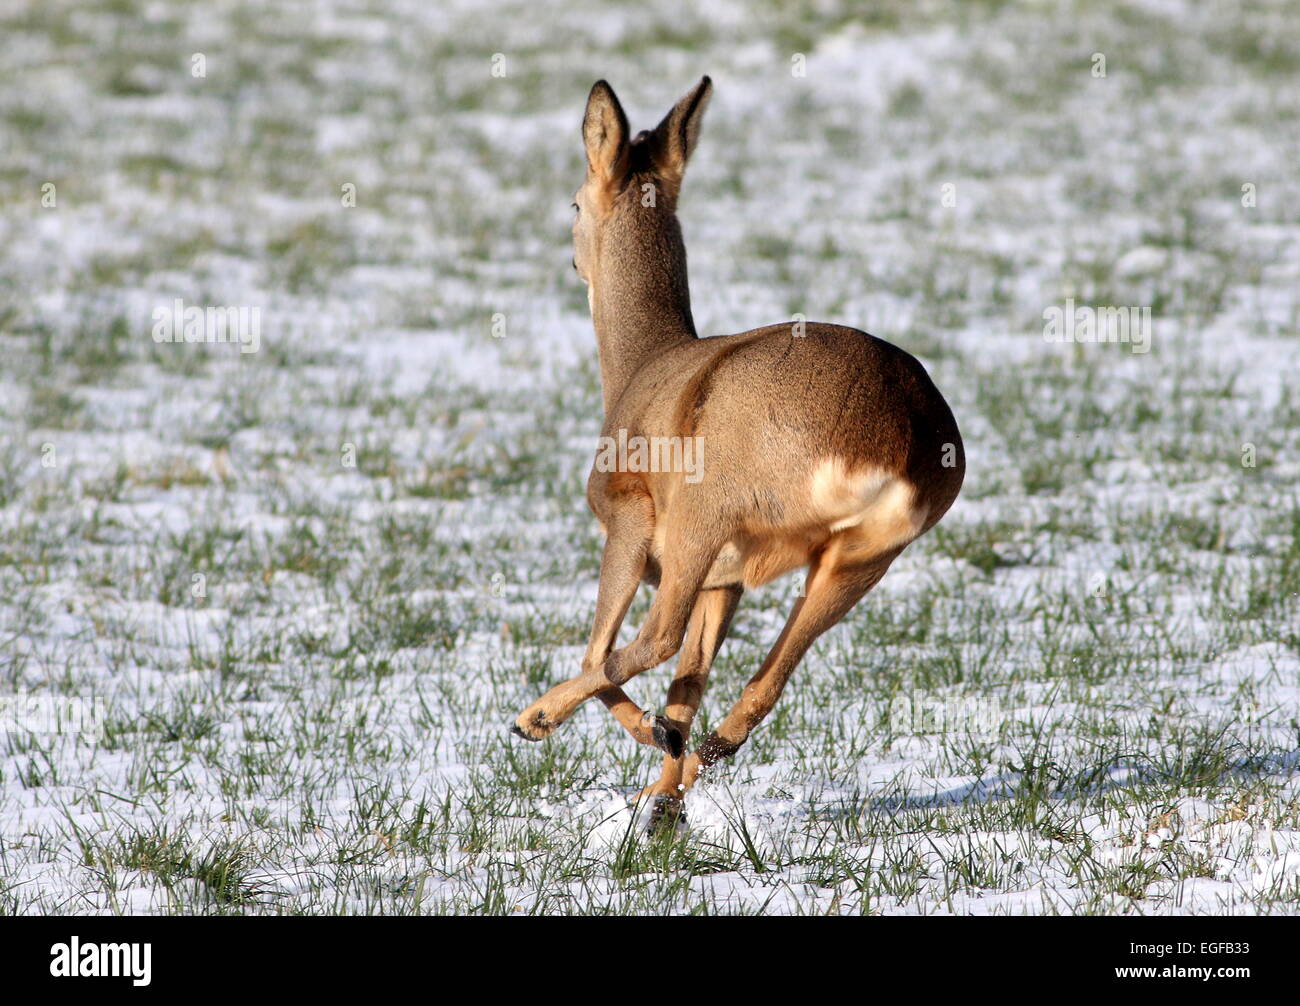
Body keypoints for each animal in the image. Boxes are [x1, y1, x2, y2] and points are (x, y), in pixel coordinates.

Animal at [511, 76, 964, 822]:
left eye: (574, 201)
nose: (569, 256)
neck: (639, 367)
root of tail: (892, 442)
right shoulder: (727, 579)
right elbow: (690, 680)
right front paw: (662, 781)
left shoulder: (629, 513)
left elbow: (609, 647)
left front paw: (585, 729)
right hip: (866, 554)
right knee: (760, 687)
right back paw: (670, 791)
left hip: (709, 505)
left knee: (651, 640)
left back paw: (549, 721)